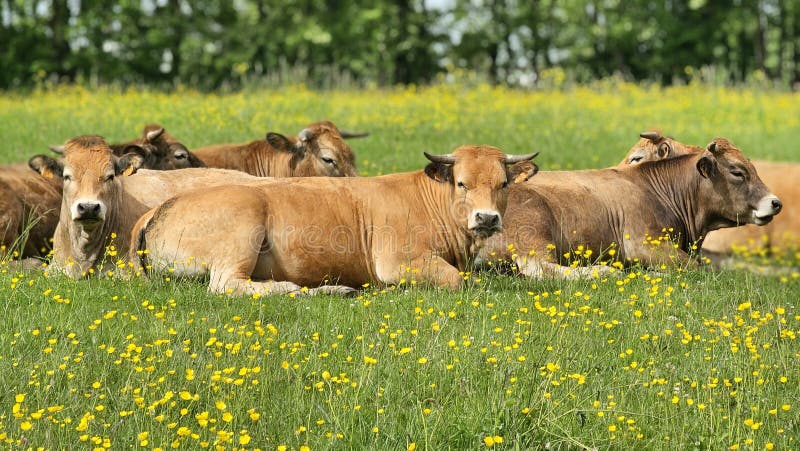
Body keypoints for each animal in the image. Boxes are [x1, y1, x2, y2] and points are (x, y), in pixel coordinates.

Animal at [129, 146, 539, 296]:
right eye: (461, 182)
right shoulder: (396, 262)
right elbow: (457, 280)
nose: (487, 217)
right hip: (242, 231)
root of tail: (160, 208)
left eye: (503, 183)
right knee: (227, 285)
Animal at [480, 138, 781, 279]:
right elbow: (691, 267)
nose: (775, 202)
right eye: (738, 172)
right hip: (535, 230)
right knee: (540, 269)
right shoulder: (643, 243)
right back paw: (607, 271)